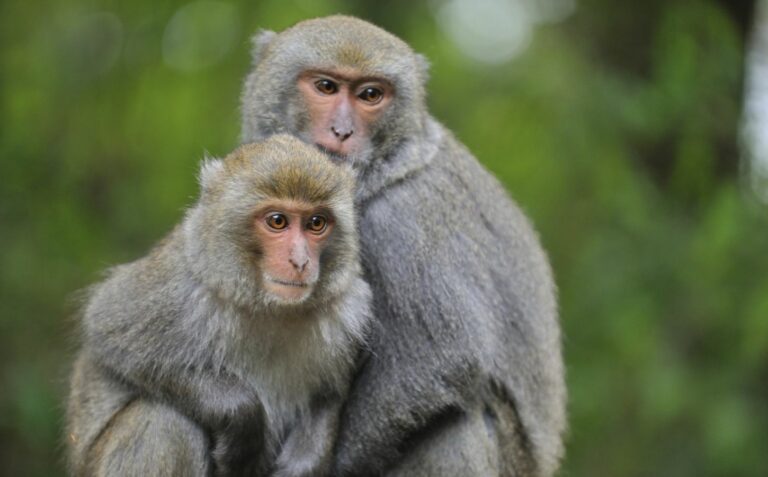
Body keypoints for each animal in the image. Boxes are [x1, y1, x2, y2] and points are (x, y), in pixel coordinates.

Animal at [66, 134, 371, 477]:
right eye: (278, 221)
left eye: (316, 223)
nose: (300, 262)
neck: (270, 308)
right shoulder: (178, 287)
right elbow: (110, 333)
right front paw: (240, 416)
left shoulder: (351, 311)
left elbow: (328, 396)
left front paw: (301, 466)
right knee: (163, 422)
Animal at [240, 16, 567, 477]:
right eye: (326, 87)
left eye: (370, 95)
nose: (343, 131)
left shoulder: (399, 221)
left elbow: (446, 356)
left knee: (462, 421)